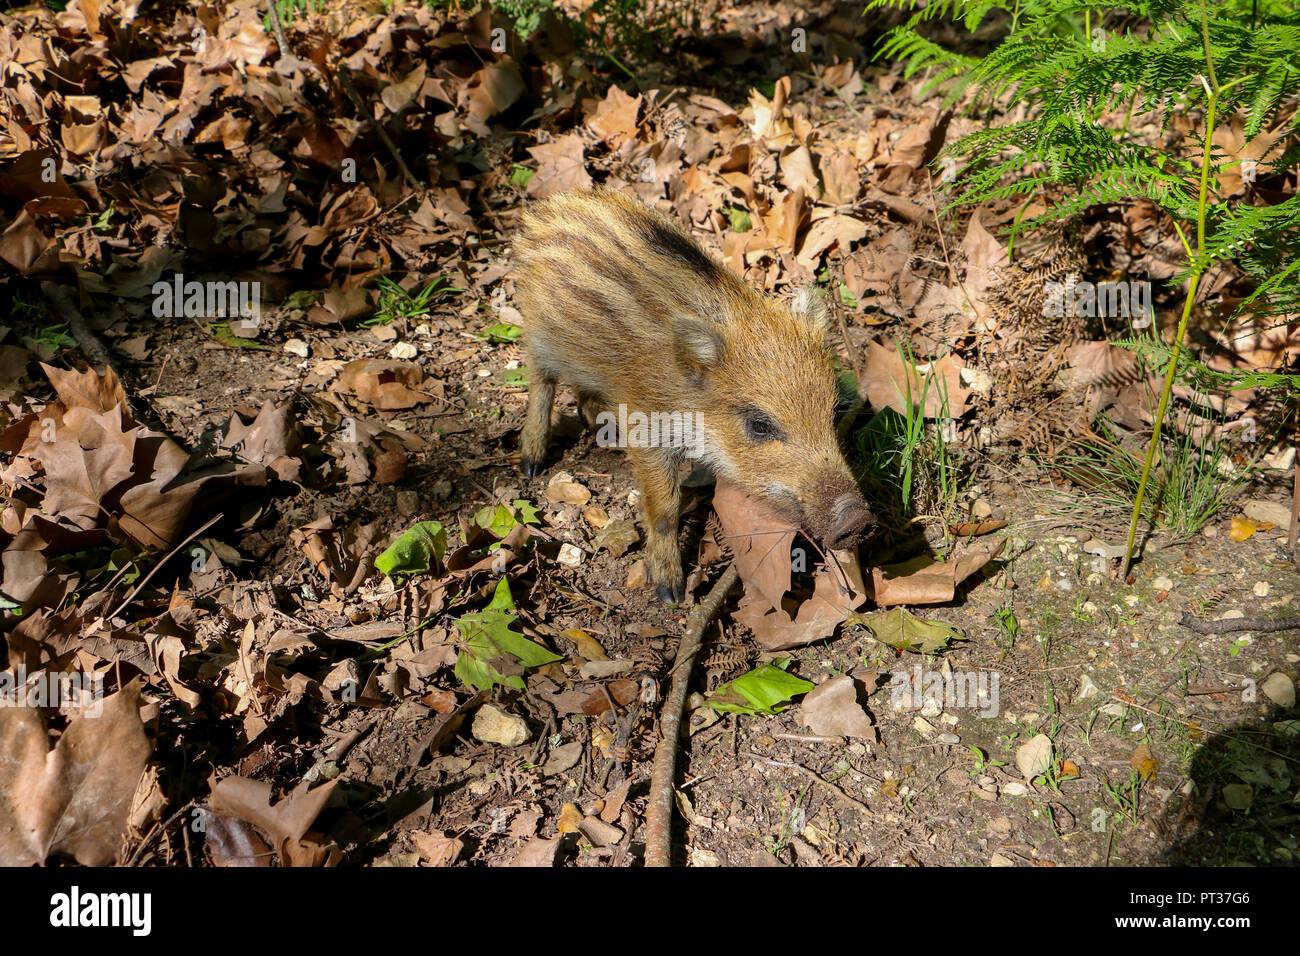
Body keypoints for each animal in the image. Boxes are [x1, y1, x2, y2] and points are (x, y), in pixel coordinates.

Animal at [512, 188, 875, 603]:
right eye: (760, 425)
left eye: (831, 414)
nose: (859, 520)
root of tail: (547, 207)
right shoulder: (648, 430)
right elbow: (665, 507)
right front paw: (670, 592)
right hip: (539, 334)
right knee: (540, 382)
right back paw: (532, 462)